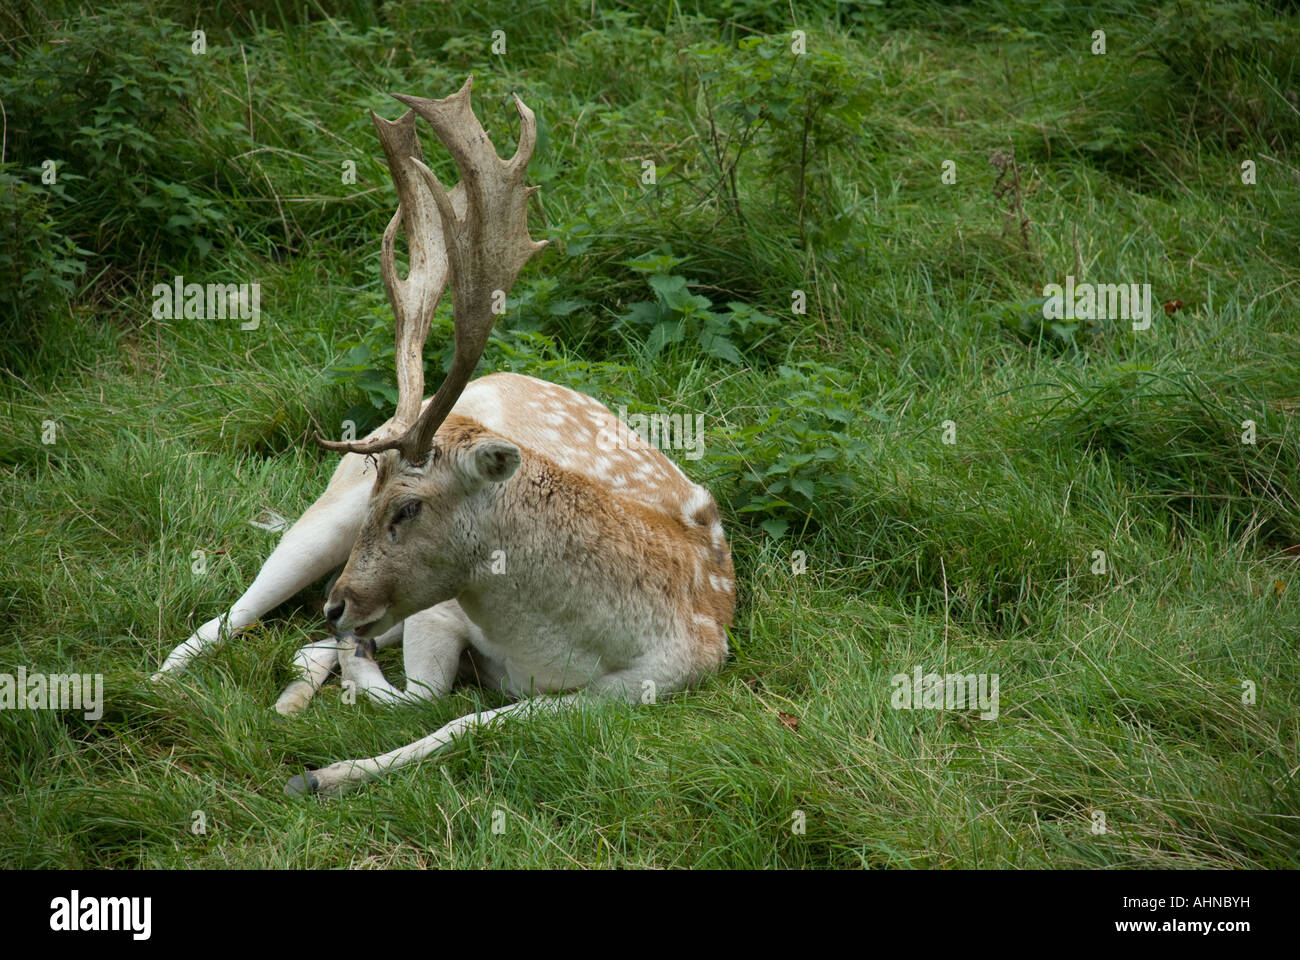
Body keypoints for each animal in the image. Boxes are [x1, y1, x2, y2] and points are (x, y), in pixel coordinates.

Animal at [152, 77, 736, 796]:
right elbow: (422, 696)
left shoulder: (651, 684)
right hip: (325, 520)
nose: (335, 606)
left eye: (408, 508)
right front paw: (323, 760)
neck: (560, 649)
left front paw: (323, 773)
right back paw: (160, 683)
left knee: (301, 647)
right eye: (381, 498)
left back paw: (299, 689)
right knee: (232, 615)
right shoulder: (441, 607)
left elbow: (460, 719)